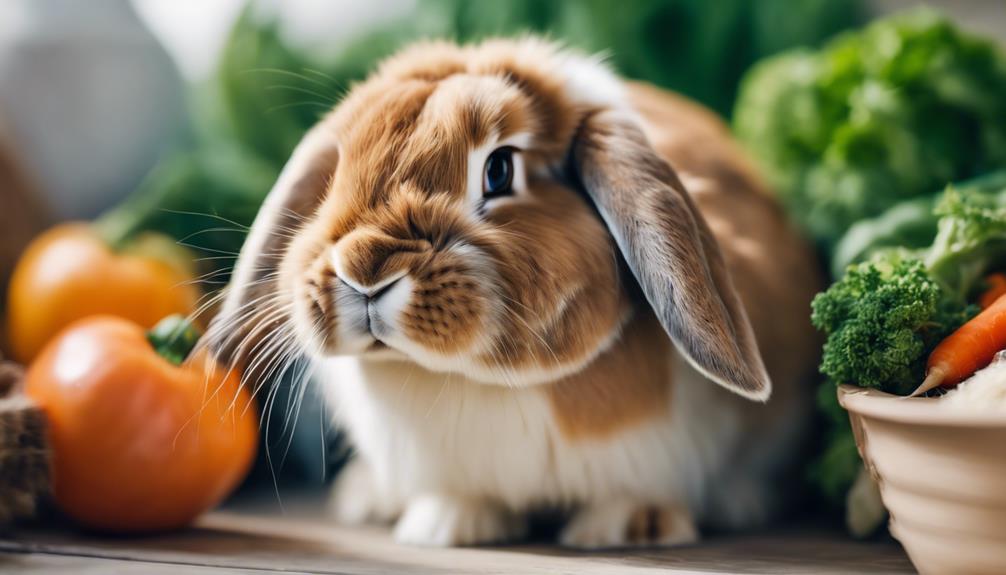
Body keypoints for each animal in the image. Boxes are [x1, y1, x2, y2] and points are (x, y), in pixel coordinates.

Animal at [208, 37, 825, 549]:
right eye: (337, 173)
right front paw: (447, 528)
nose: (364, 268)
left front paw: (630, 527)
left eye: (499, 170)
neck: (475, 380)